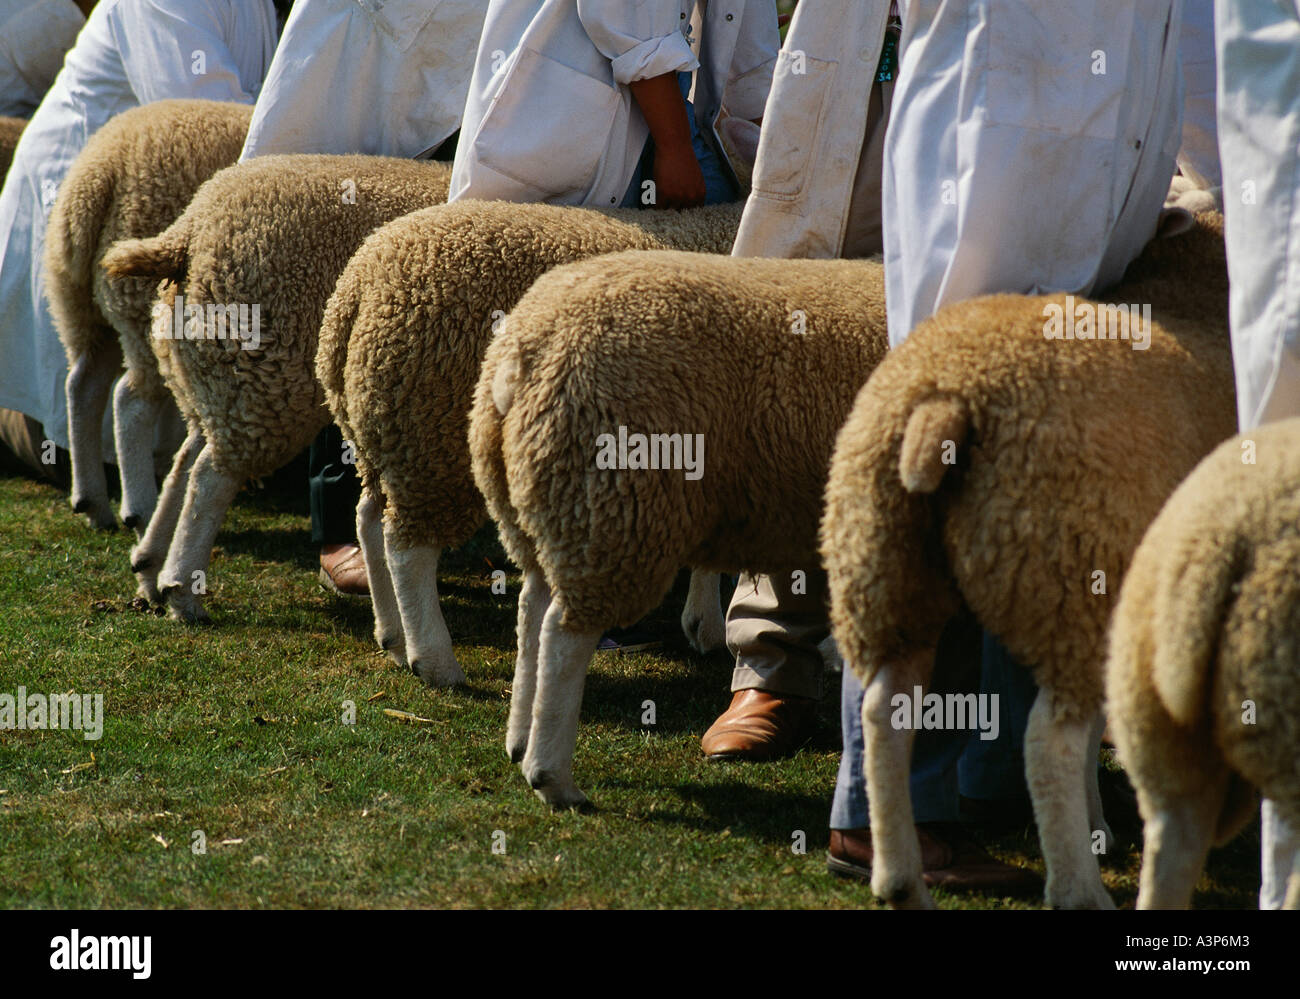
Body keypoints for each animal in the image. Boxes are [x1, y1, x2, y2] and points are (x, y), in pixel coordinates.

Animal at [43, 99, 253, 533]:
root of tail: (95, 179)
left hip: (83, 306)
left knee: (83, 385)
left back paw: (92, 502)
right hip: (143, 307)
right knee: (130, 399)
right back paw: (140, 509)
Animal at [100, 155, 452, 623]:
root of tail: (189, 230)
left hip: (215, 379)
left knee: (187, 460)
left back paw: (149, 566)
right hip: (265, 379)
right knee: (210, 476)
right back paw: (182, 591)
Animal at [317, 199, 745, 685]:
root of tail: (358, 284)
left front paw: (702, 621)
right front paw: (709, 625)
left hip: (383, 430)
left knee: (369, 517)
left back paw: (391, 634)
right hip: (432, 434)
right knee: (407, 548)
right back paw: (435, 660)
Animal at [468, 249, 889, 808]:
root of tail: (523, 351)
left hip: (544, 504)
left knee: (532, 611)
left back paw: (519, 740)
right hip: (614, 507)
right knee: (563, 633)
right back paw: (553, 778)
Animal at [819, 212, 1236, 910]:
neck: (1190, 280)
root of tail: (943, 400)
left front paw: (1100, 827)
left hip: (884, 558)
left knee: (884, 710)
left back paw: (900, 876)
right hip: (1078, 568)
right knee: (1048, 741)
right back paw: (1077, 889)